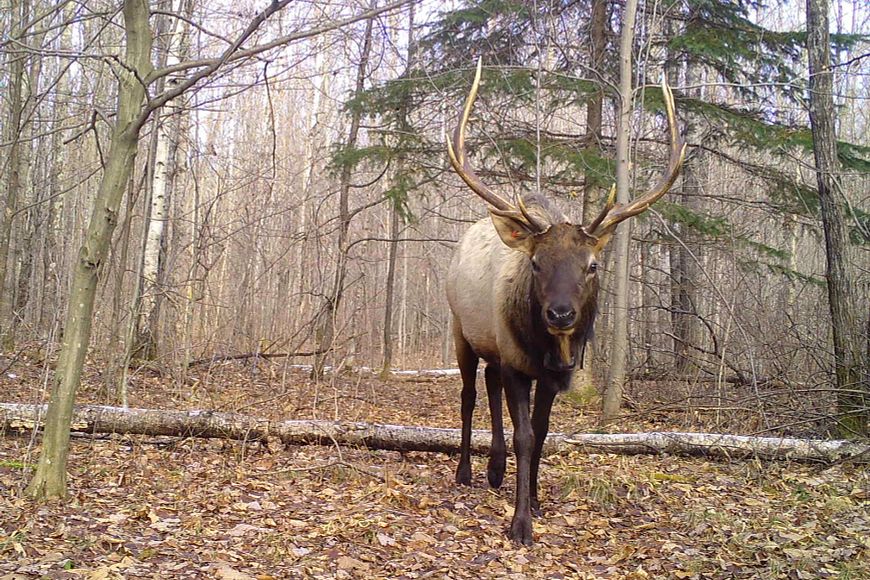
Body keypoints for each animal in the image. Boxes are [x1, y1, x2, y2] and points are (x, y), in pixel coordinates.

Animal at [445, 60, 685, 545]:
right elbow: (523, 435)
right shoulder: (518, 362)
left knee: (490, 385)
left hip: (494, 346)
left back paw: (495, 470)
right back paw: (466, 471)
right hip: (460, 328)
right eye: (536, 263)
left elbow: (540, 433)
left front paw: (535, 501)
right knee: (468, 394)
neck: (548, 350)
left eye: (592, 265)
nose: (560, 313)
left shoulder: (554, 374)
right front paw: (520, 524)